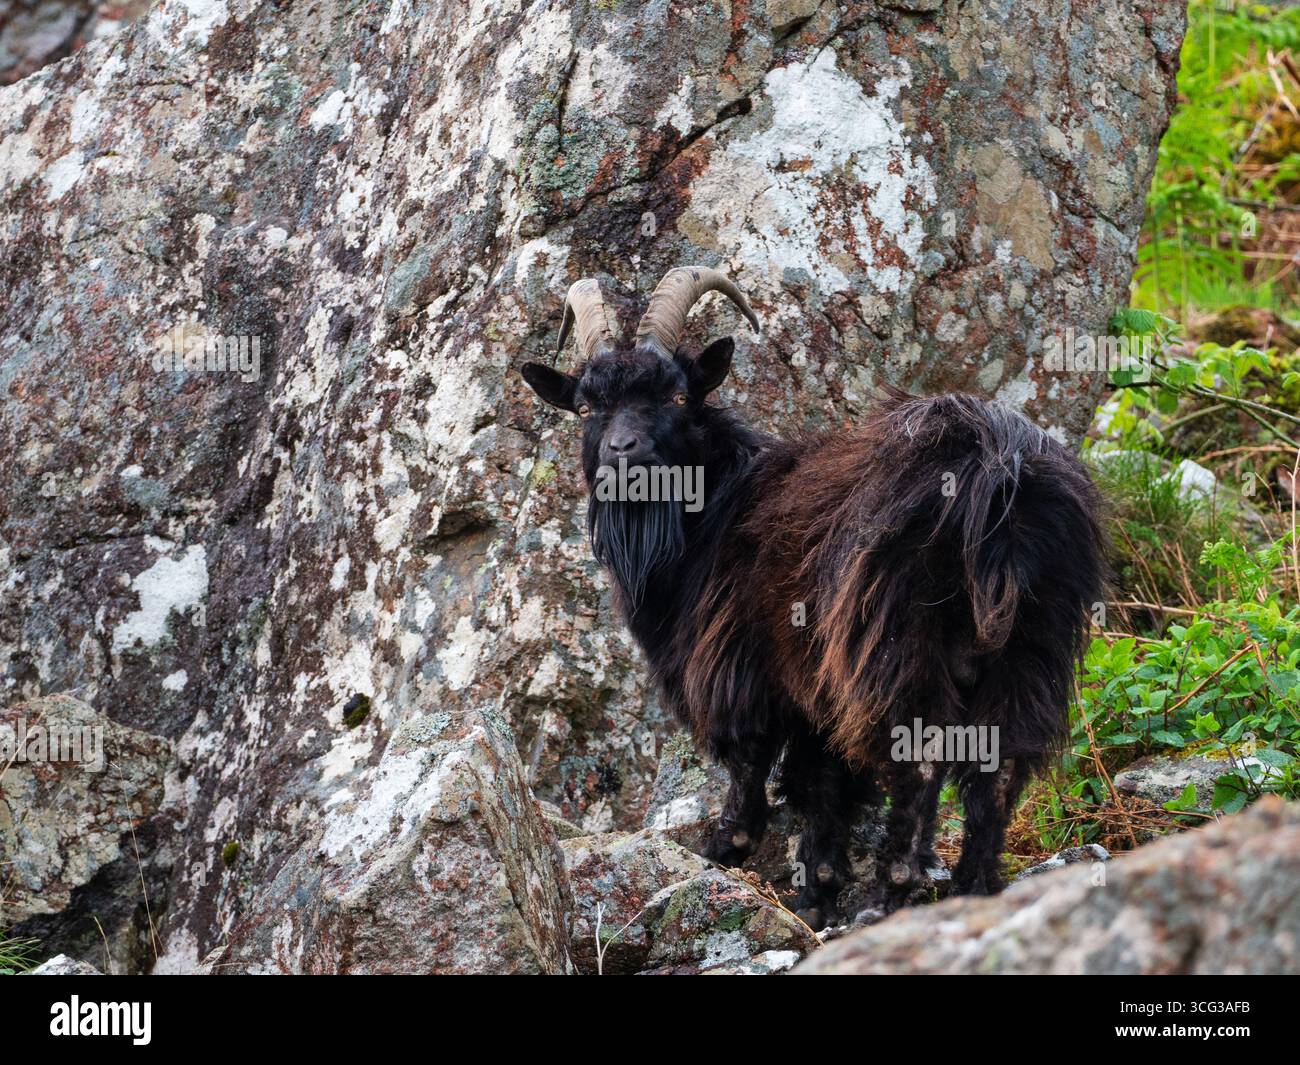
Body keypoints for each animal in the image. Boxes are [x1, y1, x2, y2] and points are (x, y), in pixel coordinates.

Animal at [520, 267, 1105, 929]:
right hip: (1031, 648)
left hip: (894, 643)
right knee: (998, 766)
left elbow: (757, 764)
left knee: (921, 757)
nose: (623, 452)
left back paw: (886, 896)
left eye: (677, 397)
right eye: (585, 406)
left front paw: (726, 852)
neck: (716, 506)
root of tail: (998, 465)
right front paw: (817, 892)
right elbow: (828, 785)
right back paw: (973, 888)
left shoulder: (742, 666)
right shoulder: (815, 692)